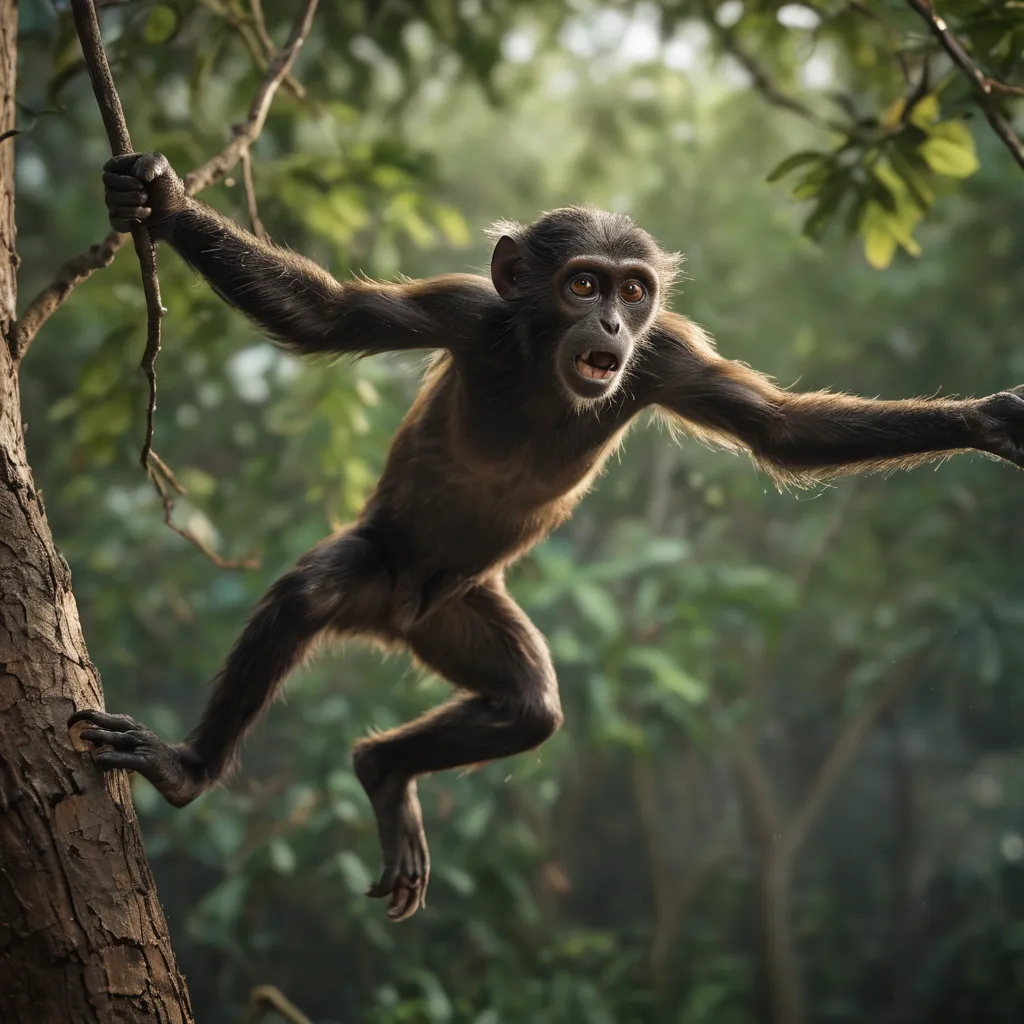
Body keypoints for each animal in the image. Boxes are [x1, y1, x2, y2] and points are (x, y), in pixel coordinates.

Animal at [70, 152, 1024, 922]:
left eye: (633, 290)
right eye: (582, 284)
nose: (610, 324)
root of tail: (396, 616)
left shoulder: (668, 355)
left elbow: (779, 430)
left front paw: (983, 421)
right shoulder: (463, 309)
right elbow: (328, 317)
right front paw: (161, 200)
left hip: (459, 613)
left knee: (529, 709)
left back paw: (386, 773)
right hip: (382, 569)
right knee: (310, 597)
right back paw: (189, 768)